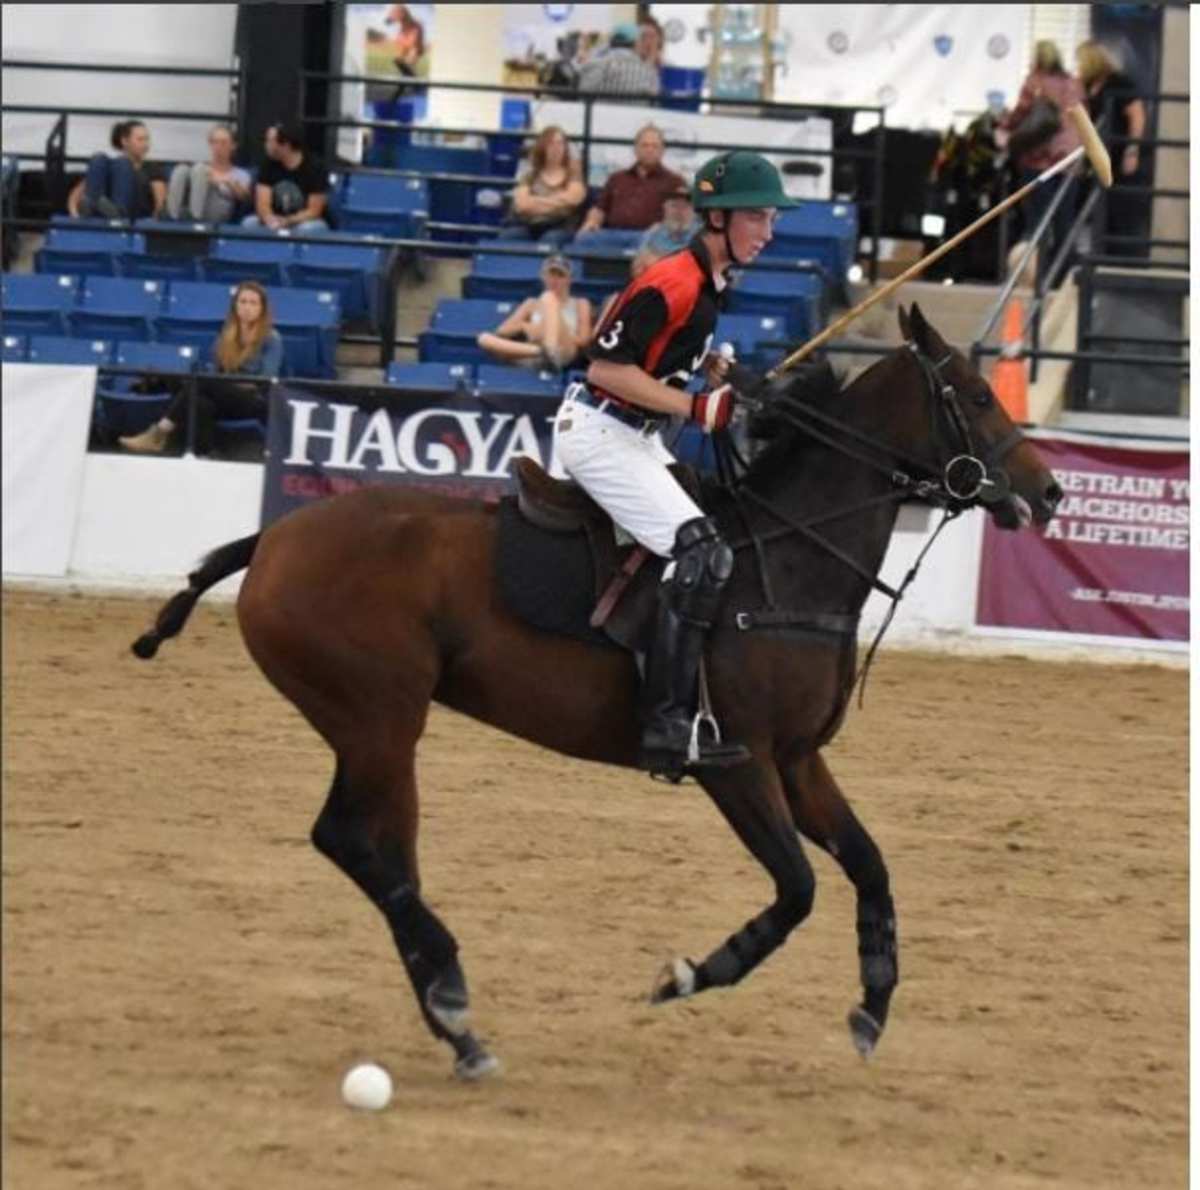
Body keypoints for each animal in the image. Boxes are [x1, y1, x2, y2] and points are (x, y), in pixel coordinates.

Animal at [131, 303, 1062, 1080]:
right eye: (978, 395)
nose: (1049, 493)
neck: (789, 558)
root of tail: (272, 540)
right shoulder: (734, 761)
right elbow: (798, 888)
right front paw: (686, 975)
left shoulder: (797, 759)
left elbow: (869, 865)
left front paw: (870, 1007)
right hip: (377, 718)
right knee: (350, 840)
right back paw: (455, 999)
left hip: (374, 728)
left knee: (383, 852)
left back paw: (455, 1025)